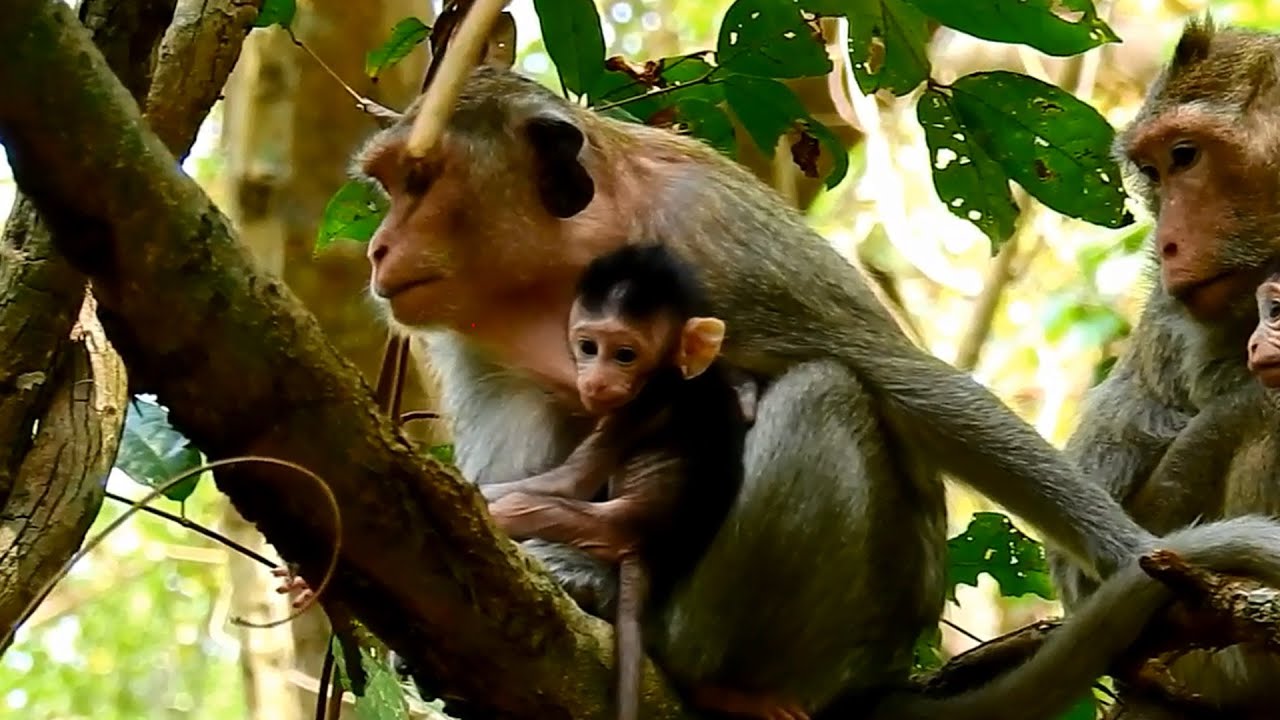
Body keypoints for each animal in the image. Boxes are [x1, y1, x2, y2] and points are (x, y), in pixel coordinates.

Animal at [482, 242, 765, 720]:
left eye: (625, 355)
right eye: (588, 347)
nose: (595, 380)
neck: (674, 375)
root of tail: (650, 547)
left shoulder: (640, 406)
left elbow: (570, 485)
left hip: (606, 528)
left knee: (529, 508)